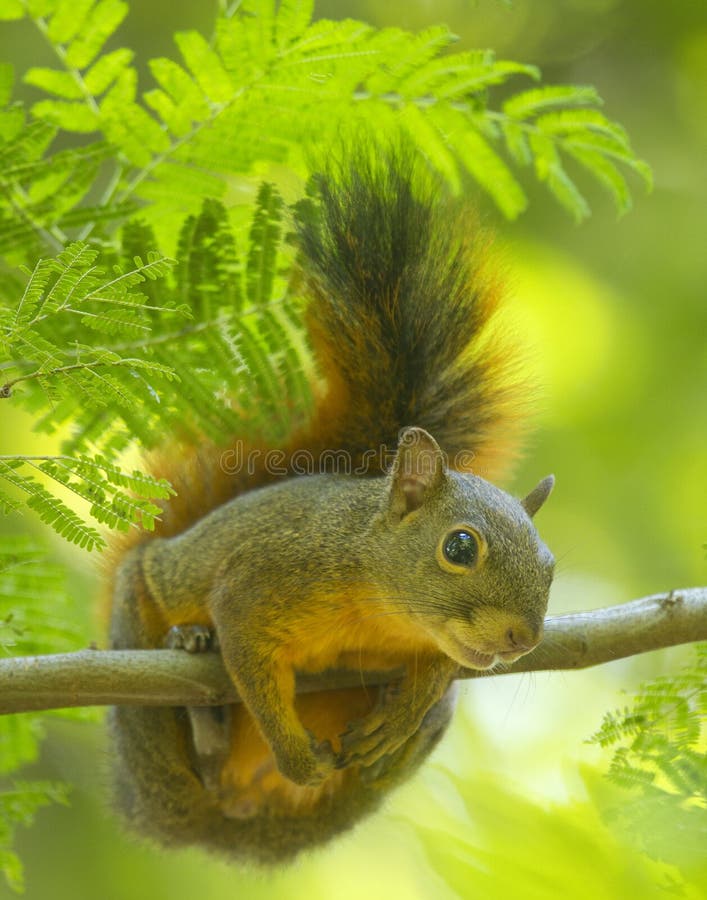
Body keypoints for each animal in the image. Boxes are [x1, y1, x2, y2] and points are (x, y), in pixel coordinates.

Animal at [107, 148, 555, 864]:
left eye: (550, 567)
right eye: (459, 547)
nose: (523, 639)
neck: (378, 602)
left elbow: (443, 667)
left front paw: (408, 707)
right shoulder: (264, 579)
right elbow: (249, 651)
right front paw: (295, 754)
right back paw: (198, 689)